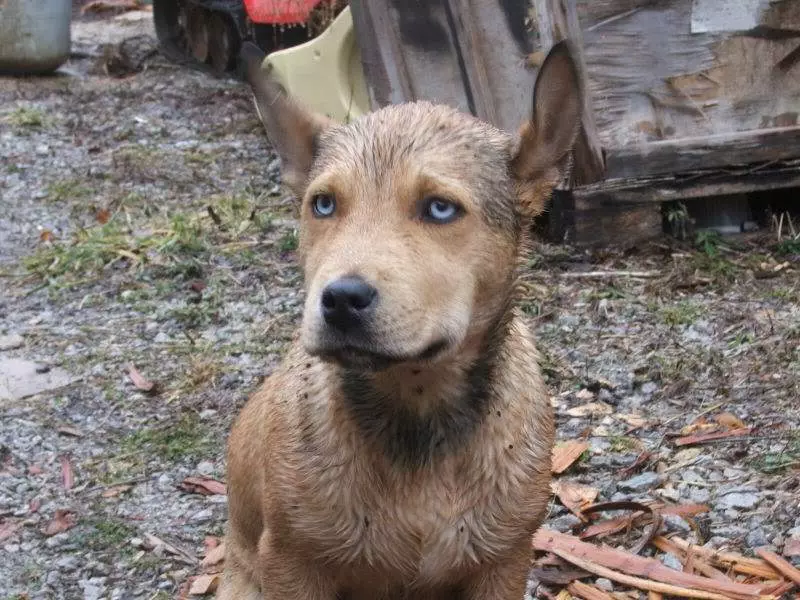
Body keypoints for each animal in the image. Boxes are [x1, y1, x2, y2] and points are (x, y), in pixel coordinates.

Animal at [219, 41, 580, 600]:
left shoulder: (504, 562)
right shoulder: (292, 563)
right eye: (323, 204)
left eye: (440, 208)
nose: (341, 299)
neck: (417, 406)